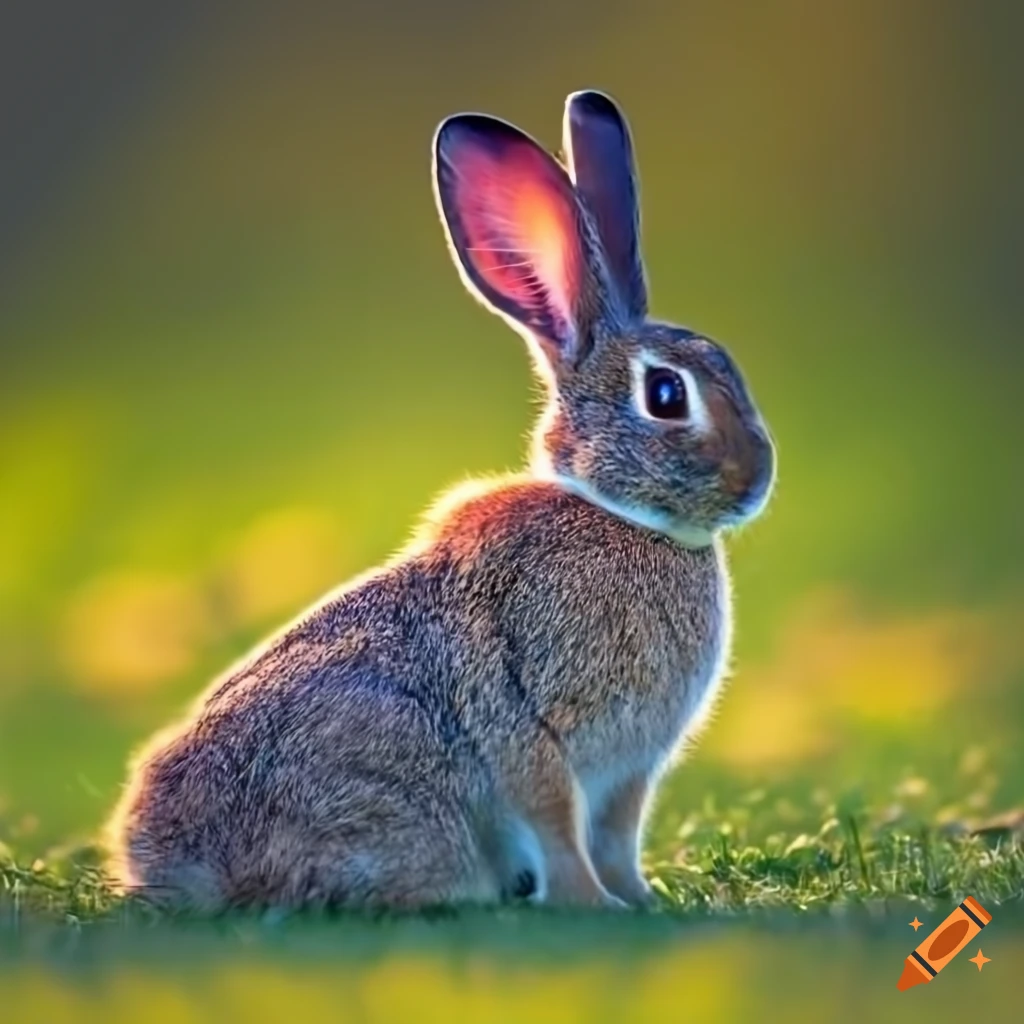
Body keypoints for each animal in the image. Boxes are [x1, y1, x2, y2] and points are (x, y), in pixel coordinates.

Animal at [105, 89, 775, 913]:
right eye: (667, 396)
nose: (757, 481)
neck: (622, 517)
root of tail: (169, 862)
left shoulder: (629, 772)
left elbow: (616, 837)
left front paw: (639, 902)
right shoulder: (527, 724)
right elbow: (555, 819)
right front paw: (593, 905)